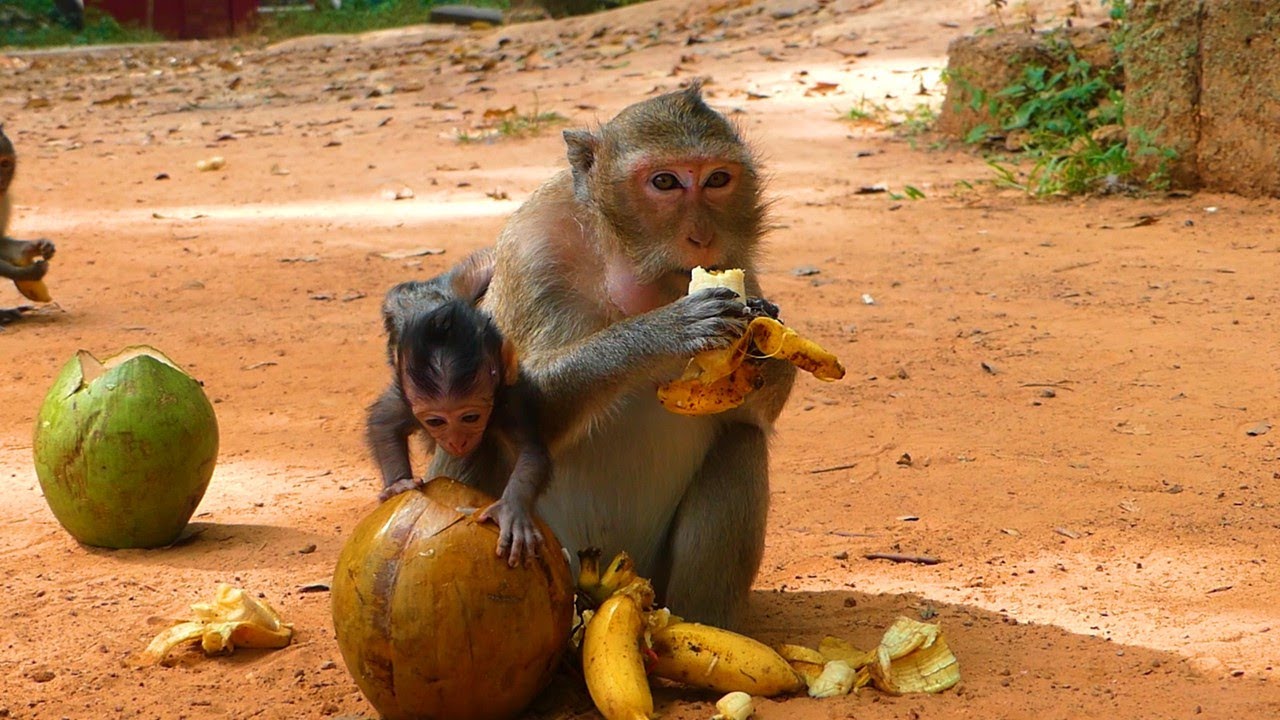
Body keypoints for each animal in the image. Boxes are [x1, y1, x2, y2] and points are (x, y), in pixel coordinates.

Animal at [365, 247, 553, 566]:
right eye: (436, 422)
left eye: (470, 417)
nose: (456, 441)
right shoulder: (408, 400)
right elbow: (383, 423)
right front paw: (399, 484)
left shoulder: (506, 400)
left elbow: (531, 453)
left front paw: (511, 509)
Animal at [424, 80, 797, 629]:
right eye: (664, 182)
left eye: (717, 180)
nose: (702, 236)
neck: (620, 262)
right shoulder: (534, 250)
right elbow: (515, 407)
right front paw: (668, 329)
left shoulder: (739, 265)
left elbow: (753, 412)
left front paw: (766, 340)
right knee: (471, 428)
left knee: (741, 442)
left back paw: (699, 626)